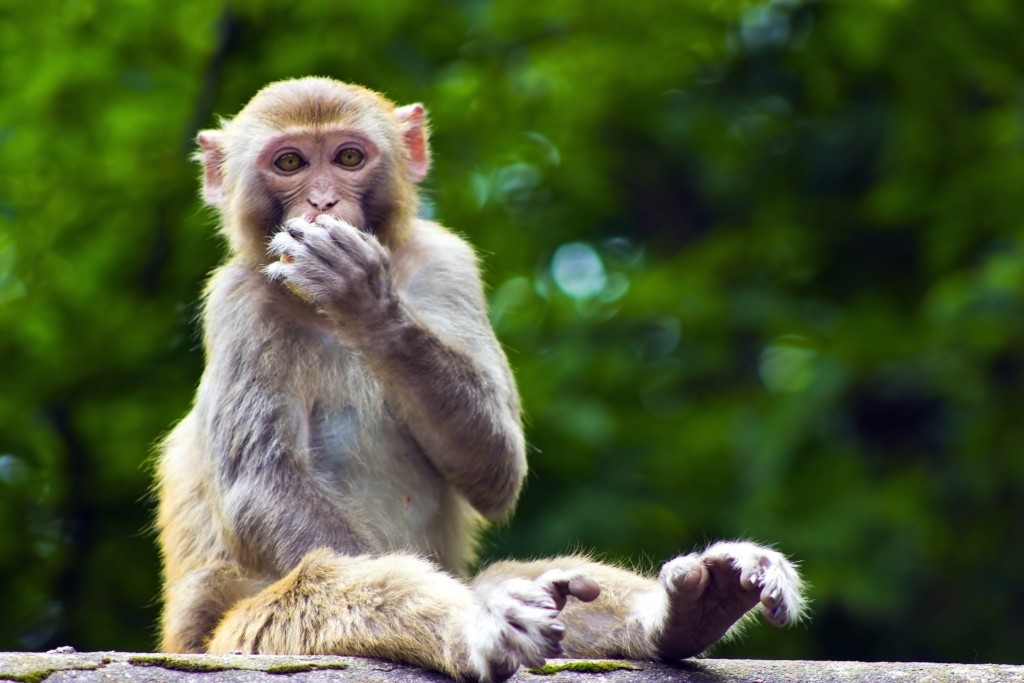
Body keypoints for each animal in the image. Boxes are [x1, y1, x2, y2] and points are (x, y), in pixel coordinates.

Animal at [155, 77, 806, 682]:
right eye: (290, 163)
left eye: (348, 157)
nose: (322, 201)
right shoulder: (237, 302)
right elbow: (260, 487)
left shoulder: (447, 264)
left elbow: (496, 464)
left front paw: (363, 299)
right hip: (229, 638)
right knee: (327, 584)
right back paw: (482, 627)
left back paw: (690, 608)